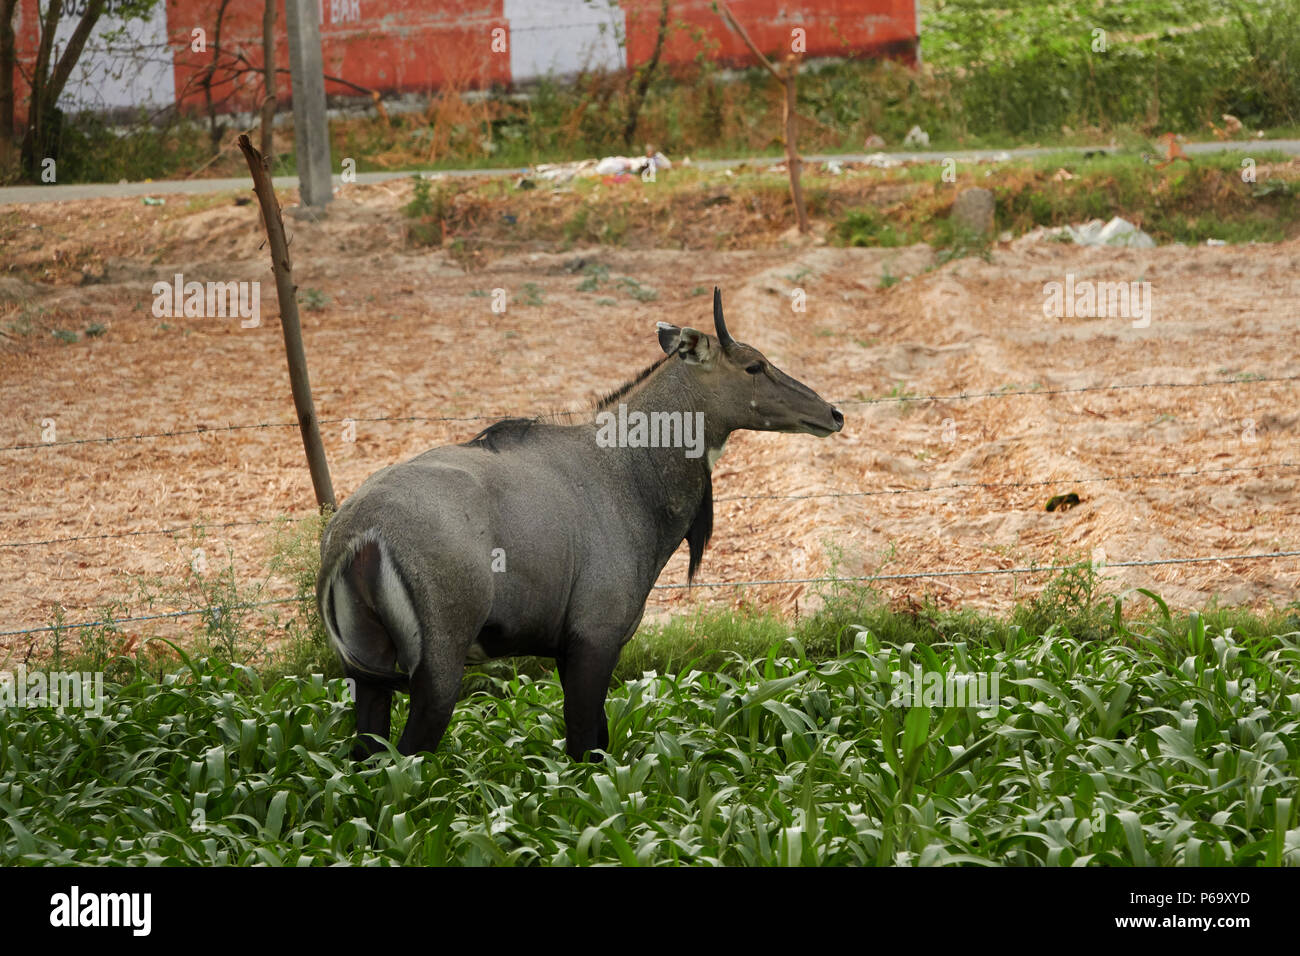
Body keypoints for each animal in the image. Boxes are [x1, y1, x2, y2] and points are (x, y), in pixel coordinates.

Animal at [317, 289, 843, 761]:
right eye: (754, 365)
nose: (833, 413)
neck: (627, 467)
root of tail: (357, 536)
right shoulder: (596, 639)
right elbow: (586, 748)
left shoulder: (569, 651)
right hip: (438, 671)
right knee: (407, 761)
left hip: (368, 675)